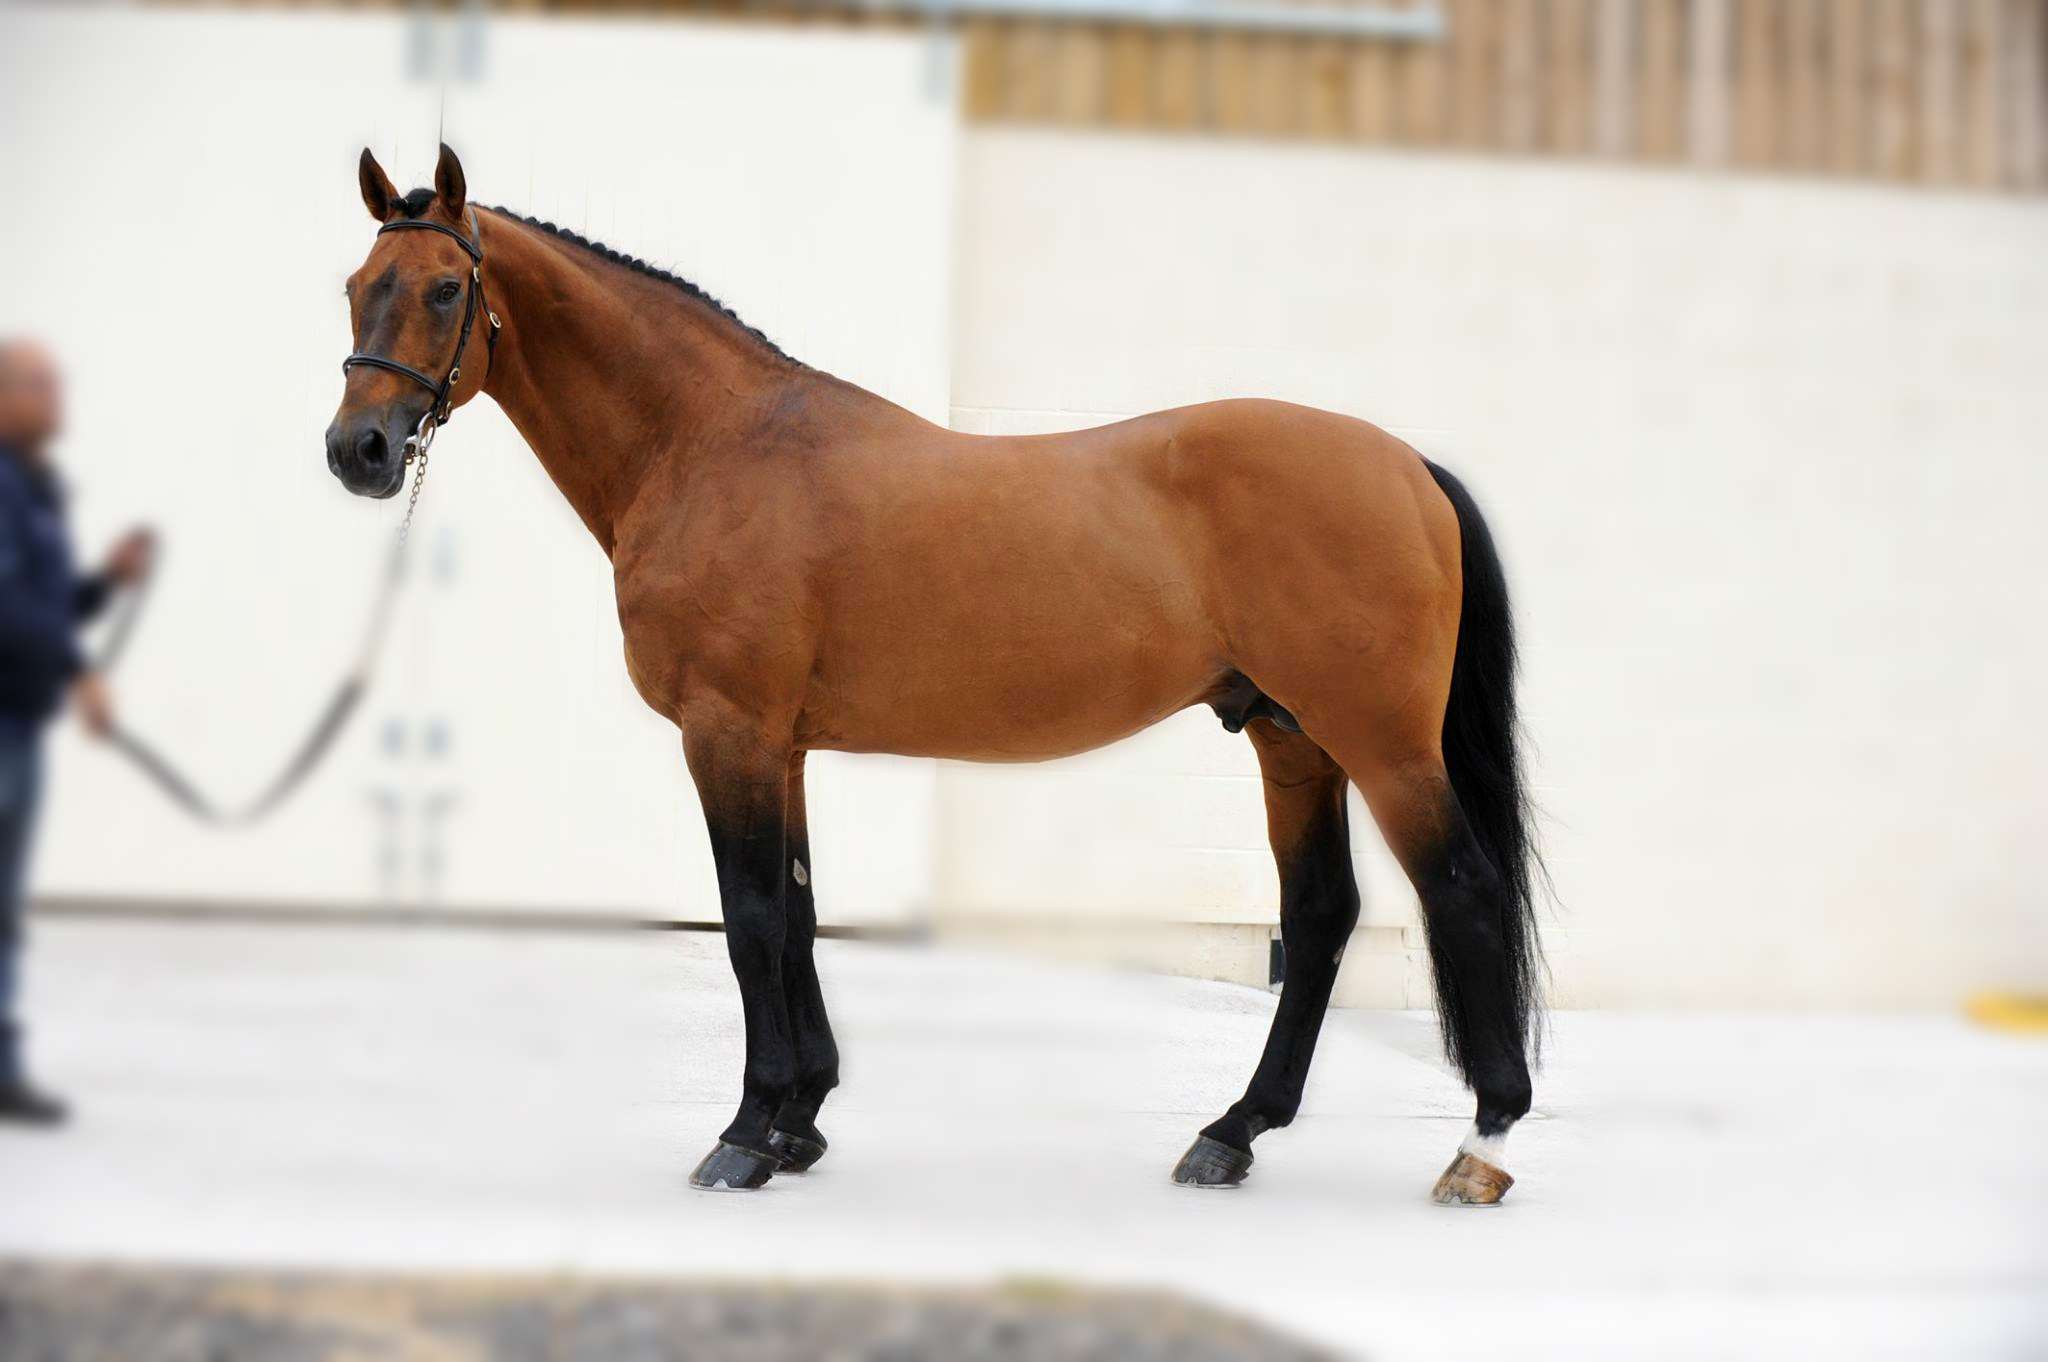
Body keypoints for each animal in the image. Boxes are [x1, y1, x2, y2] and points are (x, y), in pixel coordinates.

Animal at [327, 145, 1543, 1205]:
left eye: (444, 288)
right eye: (354, 287)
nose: (359, 452)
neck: (715, 446)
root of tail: (1406, 466)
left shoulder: (728, 732)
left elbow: (749, 919)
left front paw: (744, 1135)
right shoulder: (783, 745)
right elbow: (799, 913)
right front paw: (801, 1121)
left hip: (1381, 746)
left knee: (1462, 890)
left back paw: (1480, 1144)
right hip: (1293, 740)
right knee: (1323, 913)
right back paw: (1230, 1133)